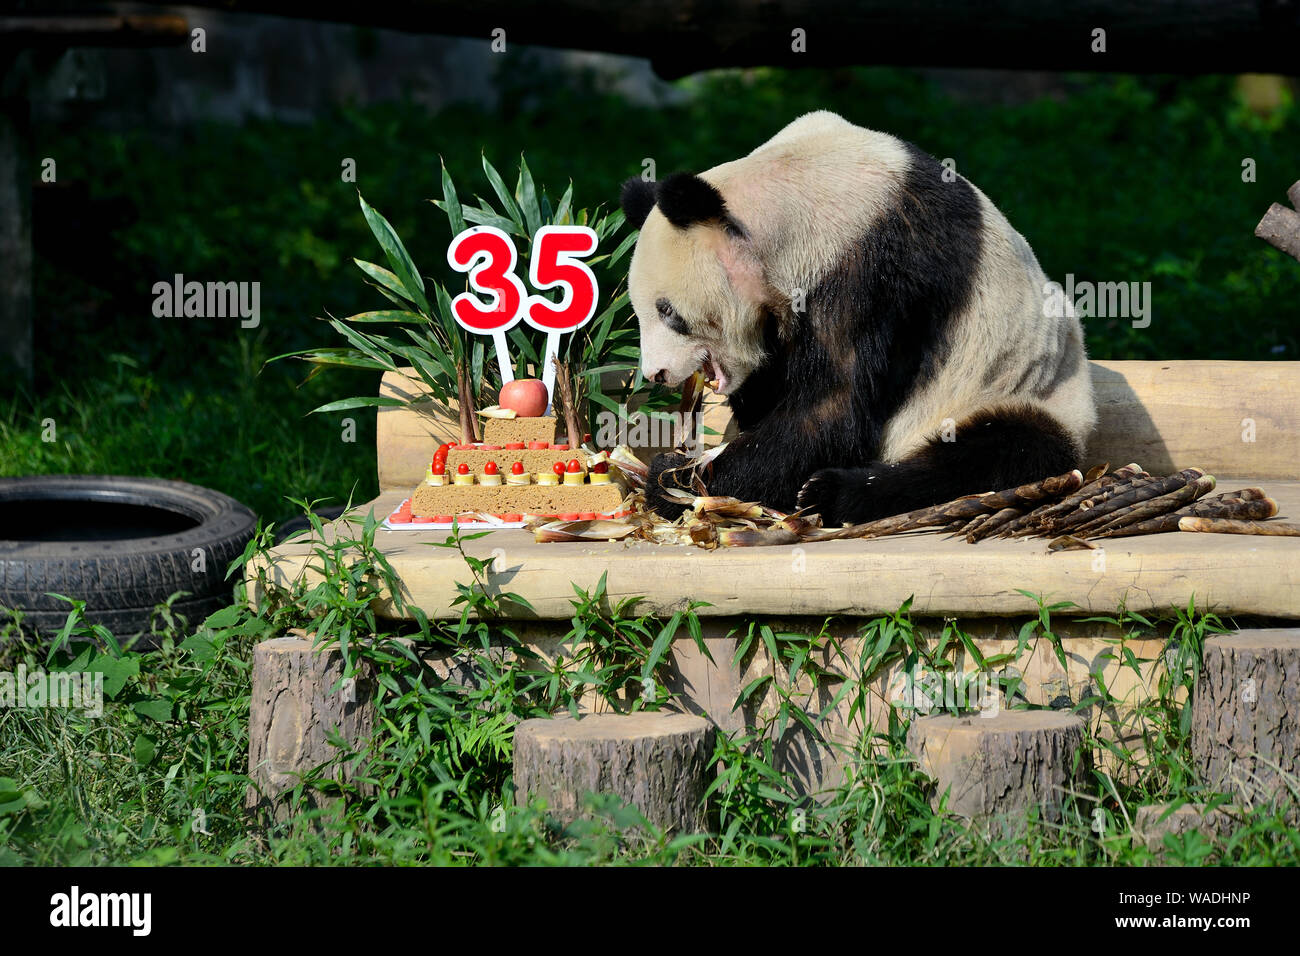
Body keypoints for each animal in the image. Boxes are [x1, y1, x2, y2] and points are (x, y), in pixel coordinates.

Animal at [619, 110, 1097, 526]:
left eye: (669, 313)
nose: (656, 373)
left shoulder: (870, 269)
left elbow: (834, 408)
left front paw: (676, 481)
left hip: (1016, 390)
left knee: (992, 453)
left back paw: (831, 492)